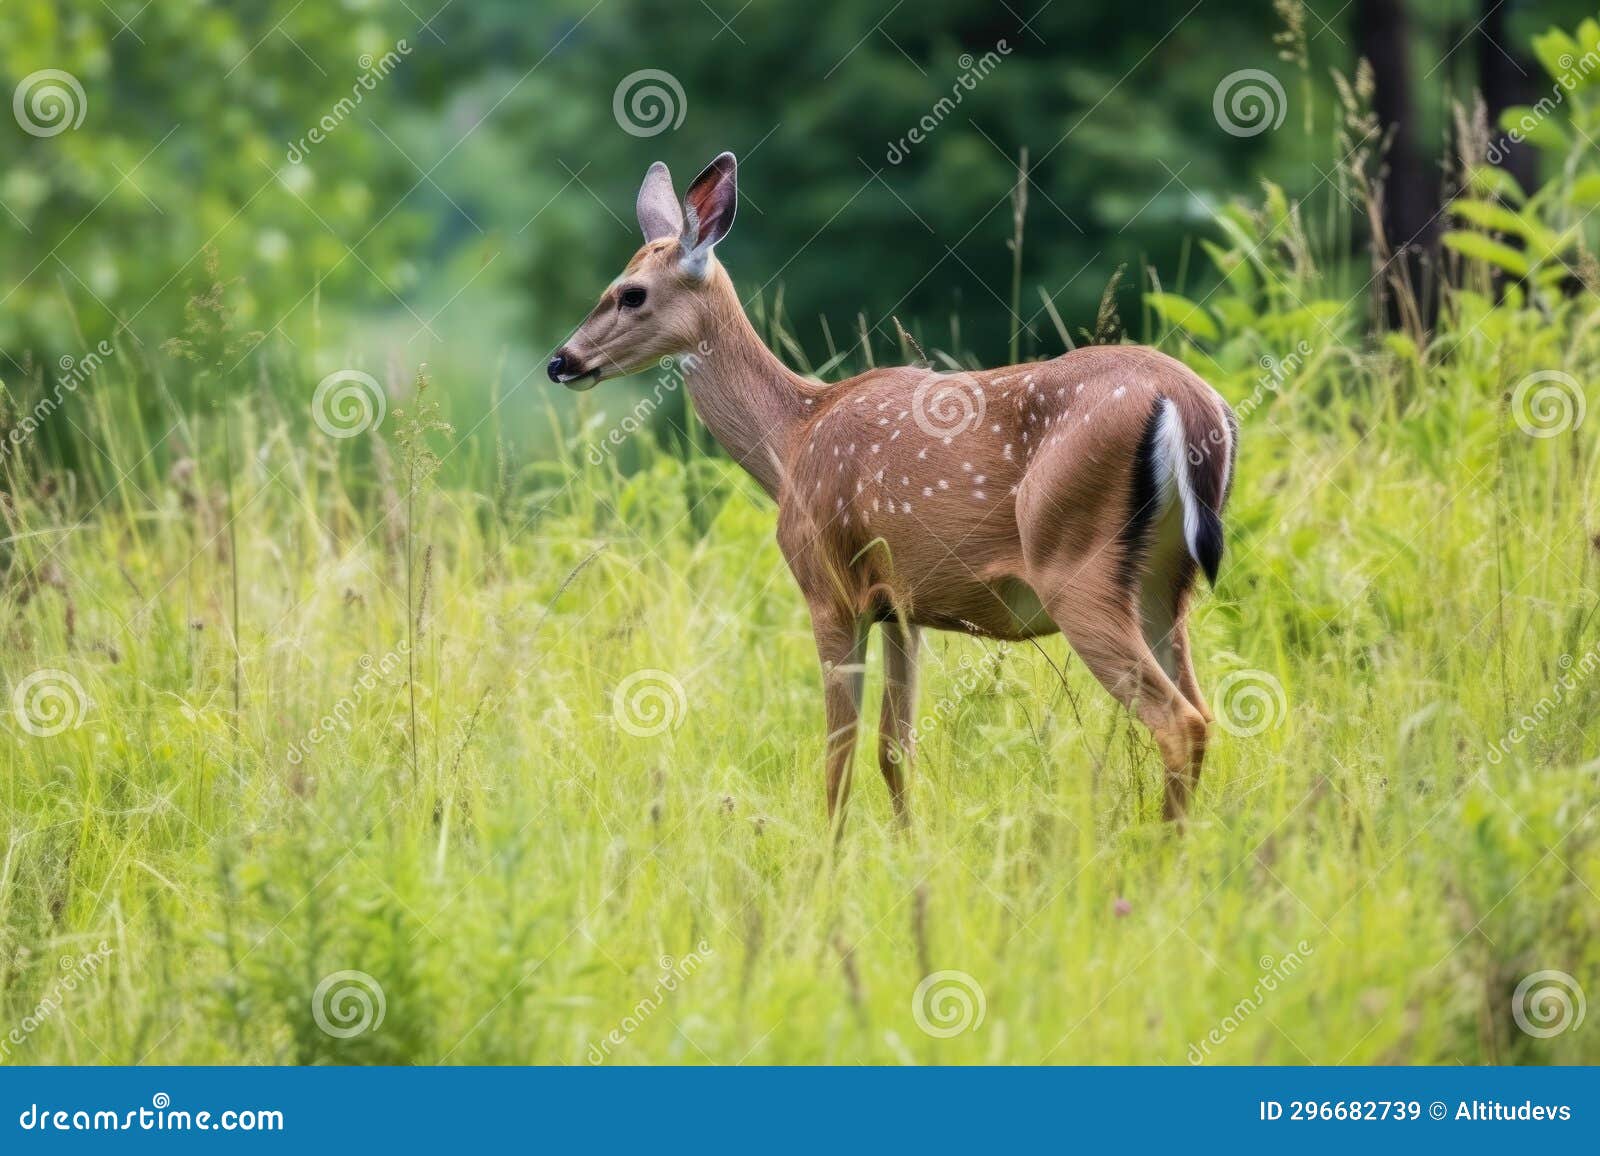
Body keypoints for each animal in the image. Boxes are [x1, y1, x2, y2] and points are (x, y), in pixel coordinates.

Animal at [549, 152, 1238, 832]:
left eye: (631, 293)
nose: (562, 361)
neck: (792, 439)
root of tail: (1191, 404)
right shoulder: (902, 603)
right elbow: (894, 747)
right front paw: (909, 846)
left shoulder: (830, 591)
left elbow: (840, 753)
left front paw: (827, 856)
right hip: (1161, 582)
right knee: (1205, 716)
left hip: (1075, 561)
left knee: (1179, 721)